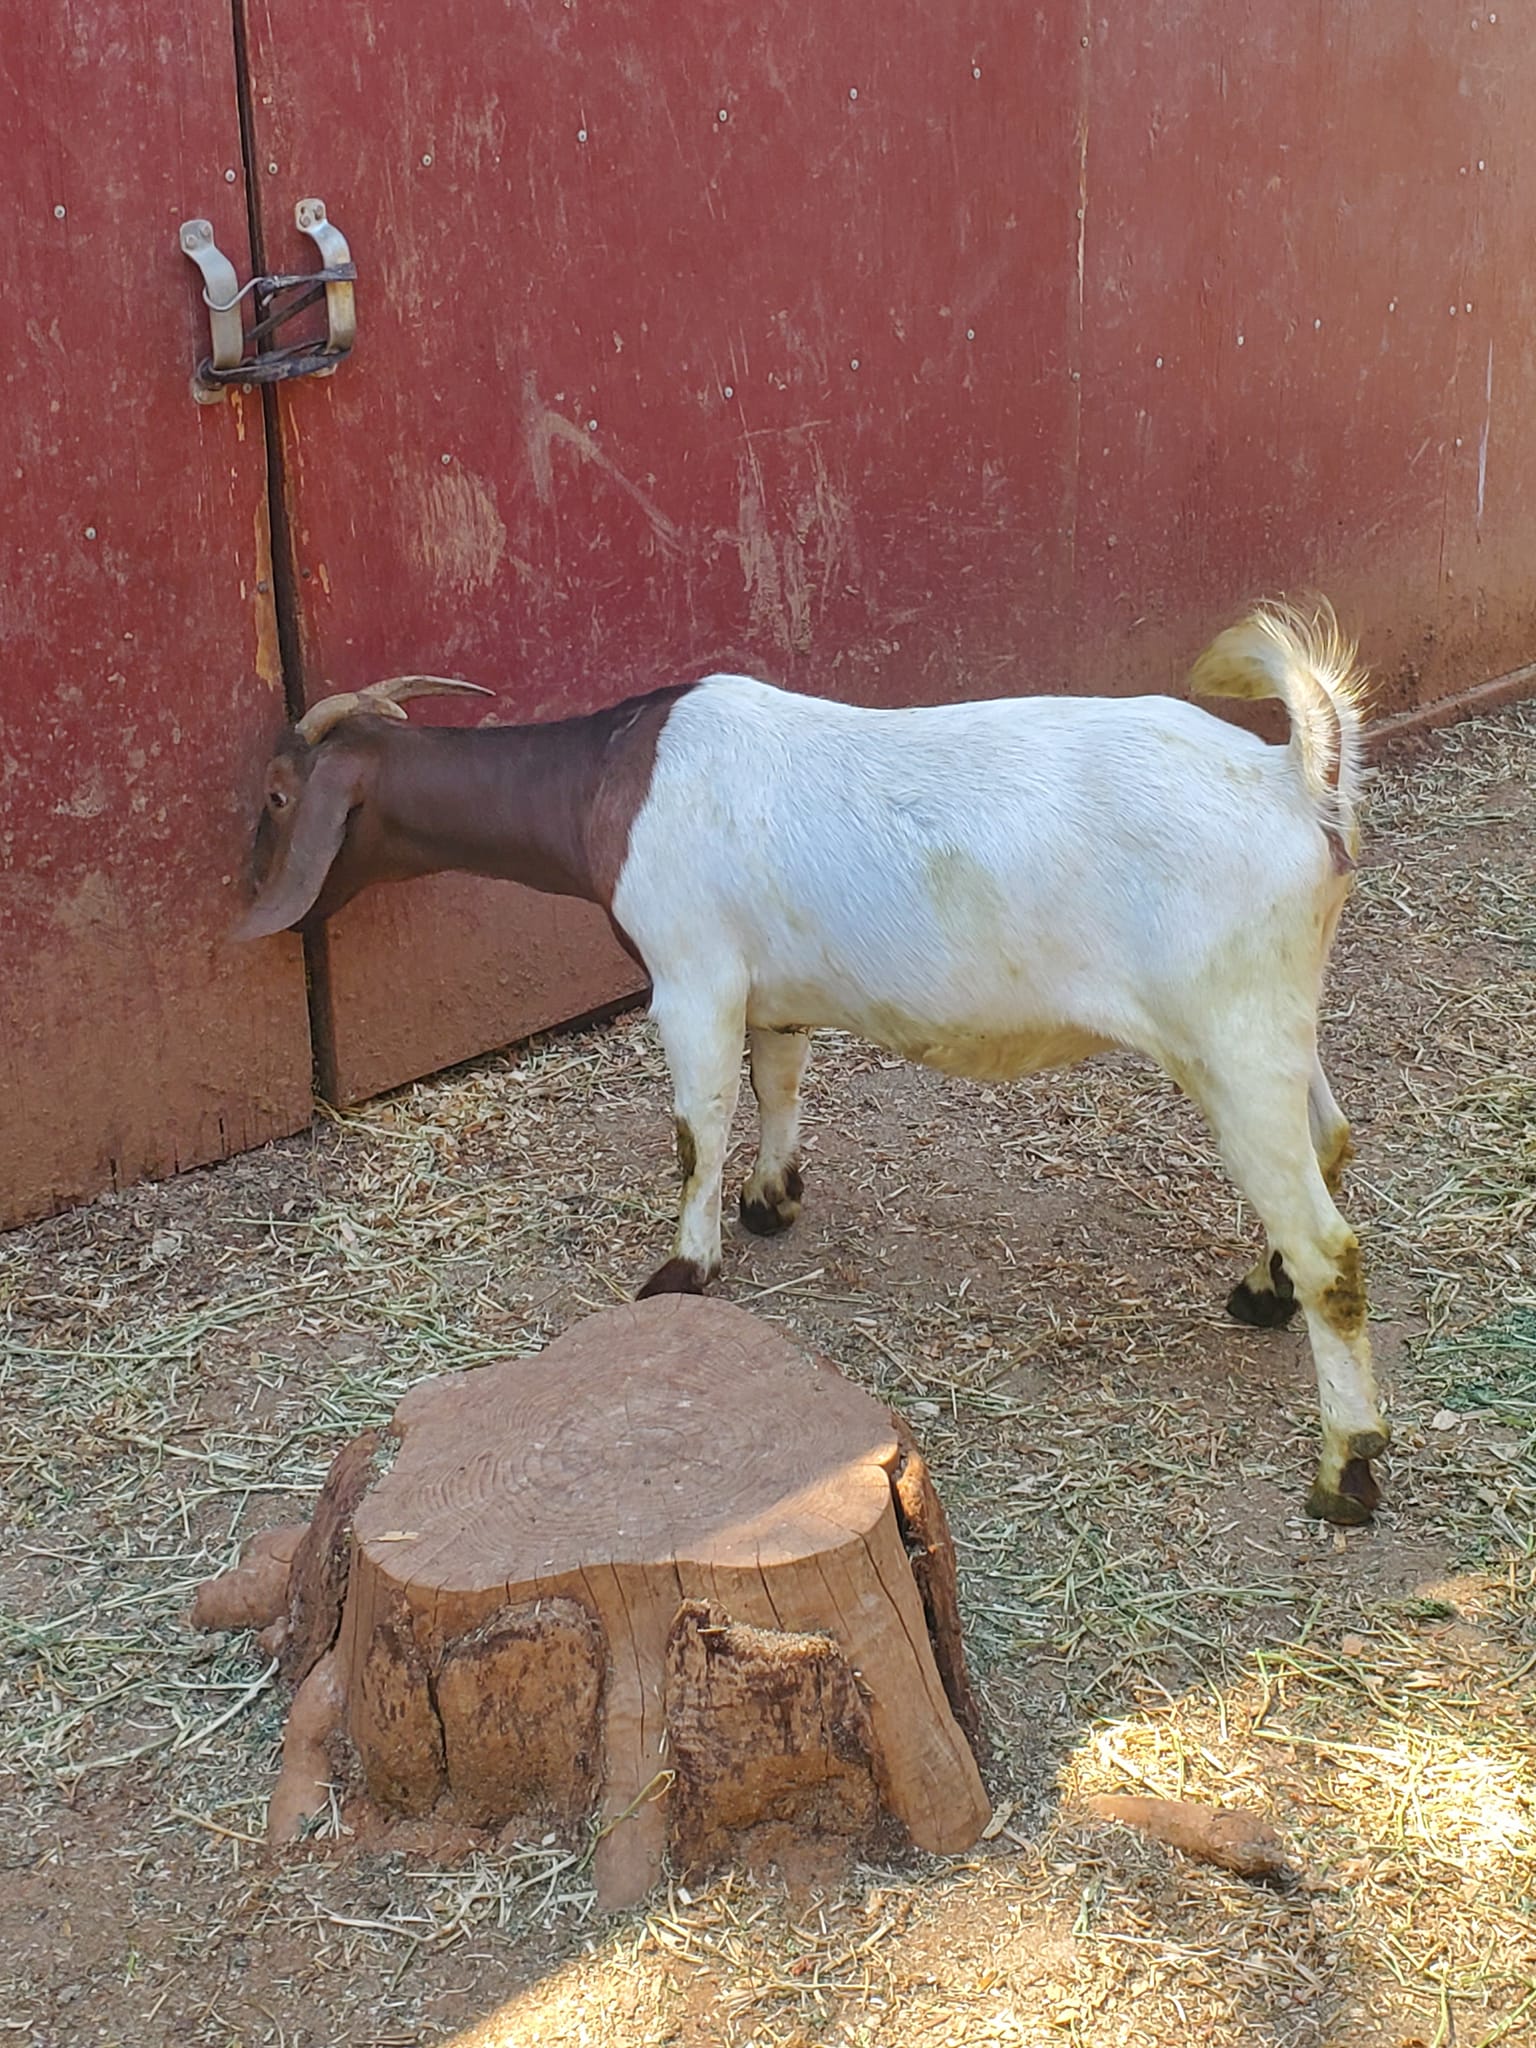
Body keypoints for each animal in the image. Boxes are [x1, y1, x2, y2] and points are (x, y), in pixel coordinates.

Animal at [237, 605, 1387, 1525]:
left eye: (280, 796)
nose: (246, 898)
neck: (617, 774)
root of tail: (1298, 782)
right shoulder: (769, 988)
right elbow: (775, 1080)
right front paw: (771, 1199)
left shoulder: (691, 973)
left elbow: (695, 1126)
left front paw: (682, 1269)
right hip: (1273, 1019)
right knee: (1329, 1139)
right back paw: (1261, 1291)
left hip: (1229, 1024)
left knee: (1331, 1246)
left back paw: (1346, 1470)